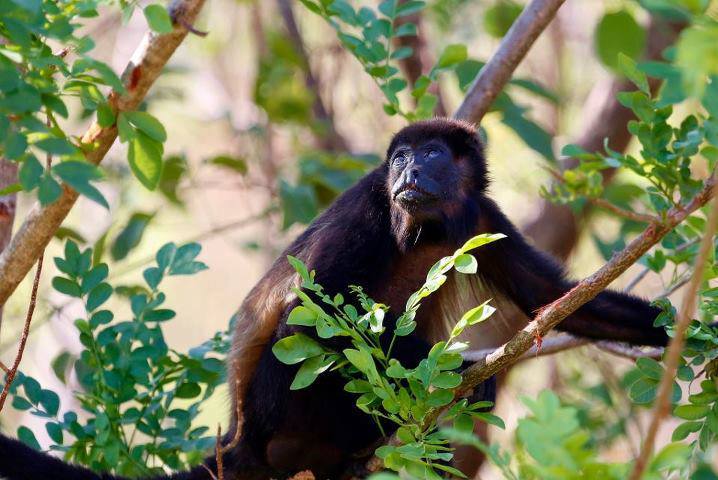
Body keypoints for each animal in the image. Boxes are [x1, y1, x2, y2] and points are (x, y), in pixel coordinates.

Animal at [0, 118, 668, 480]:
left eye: (430, 154)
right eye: (398, 159)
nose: (408, 172)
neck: (427, 227)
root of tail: (238, 439)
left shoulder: (484, 216)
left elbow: (553, 296)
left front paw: (672, 333)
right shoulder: (366, 211)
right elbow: (314, 314)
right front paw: (445, 376)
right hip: (277, 410)